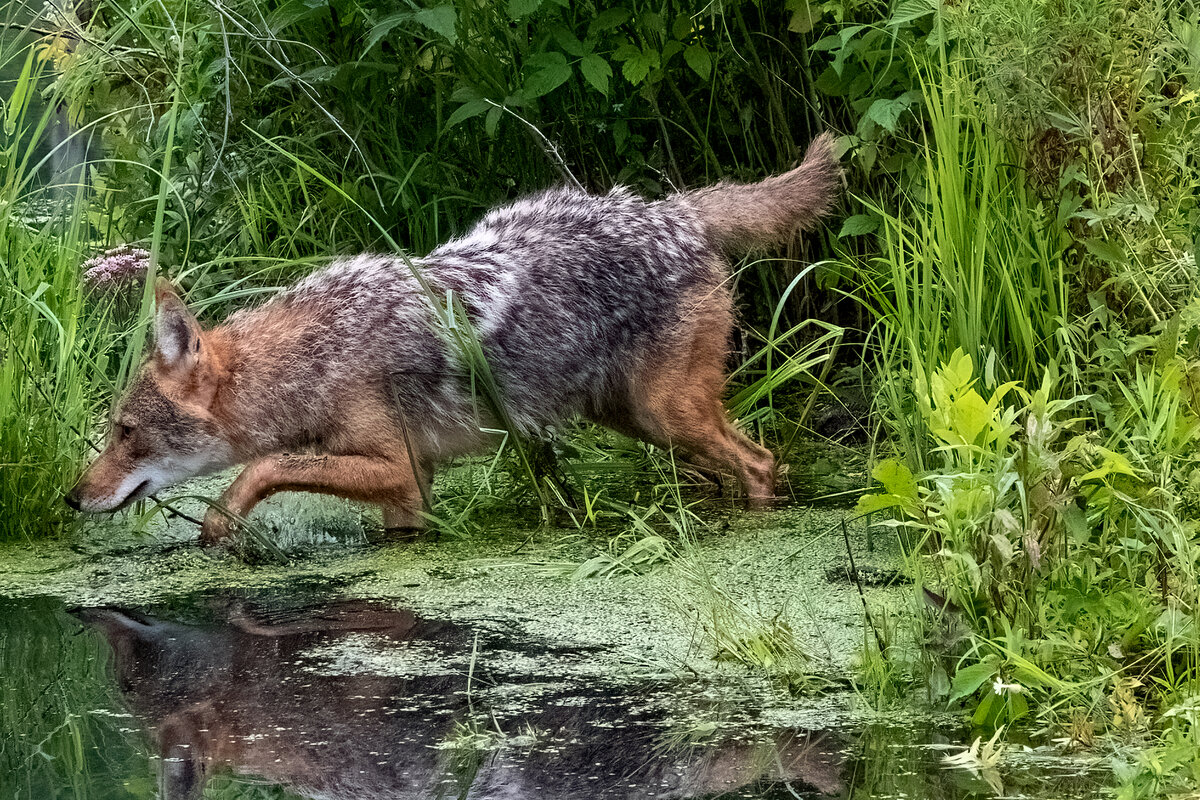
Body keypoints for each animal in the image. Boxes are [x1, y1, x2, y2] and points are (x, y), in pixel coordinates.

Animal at [63, 134, 835, 544]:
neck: (318, 356)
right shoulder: (410, 495)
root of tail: (674, 210)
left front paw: (220, 522)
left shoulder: (398, 467)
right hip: (637, 420)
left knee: (762, 464)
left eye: (126, 433)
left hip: (666, 416)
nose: (71, 499)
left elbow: (265, 467)